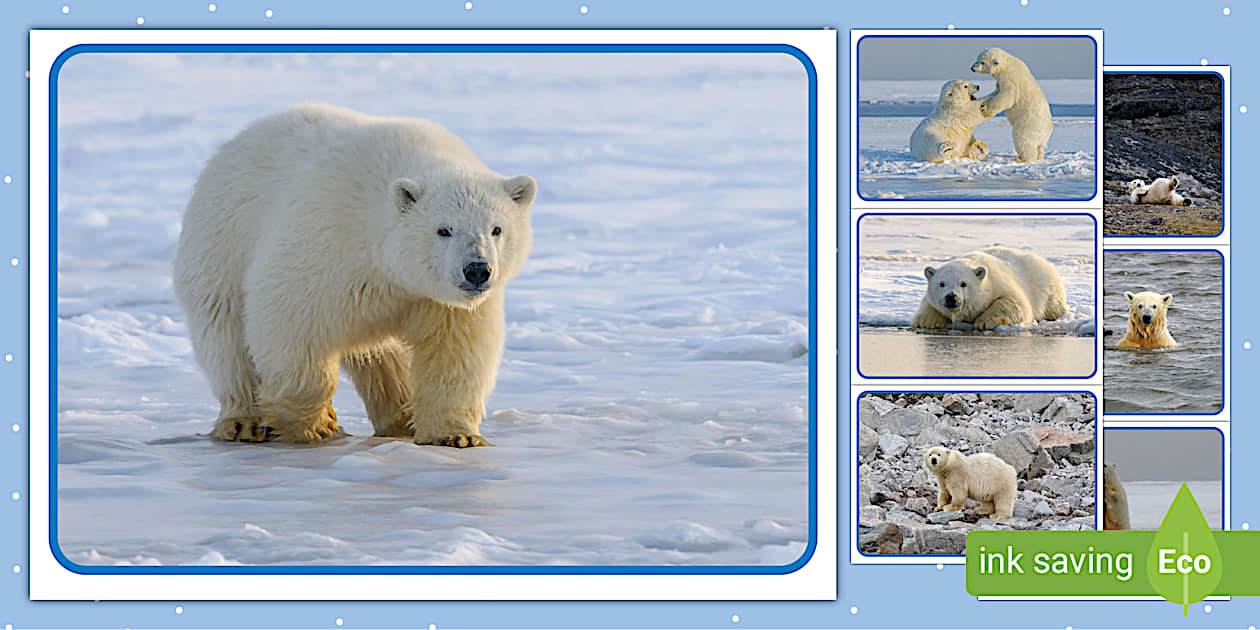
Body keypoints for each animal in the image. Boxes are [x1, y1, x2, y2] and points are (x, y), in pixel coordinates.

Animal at [172, 103, 537, 447]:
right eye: (443, 229)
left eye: (497, 229)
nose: (477, 270)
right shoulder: (326, 242)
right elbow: (289, 320)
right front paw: (316, 424)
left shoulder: (436, 300)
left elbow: (454, 352)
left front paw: (456, 436)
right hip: (222, 245)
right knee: (227, 337)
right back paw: (243, 421)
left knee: (385, 360)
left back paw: (400, 418)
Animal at [911, 246, 1068, 331]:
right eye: (942, 283)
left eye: (963, 283)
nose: (951, 297)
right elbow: (928, 304)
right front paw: (926, 322)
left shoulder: (999, 283)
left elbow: (1016, 304)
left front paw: (983, 322)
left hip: (1045, 286)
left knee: (1053, 306)